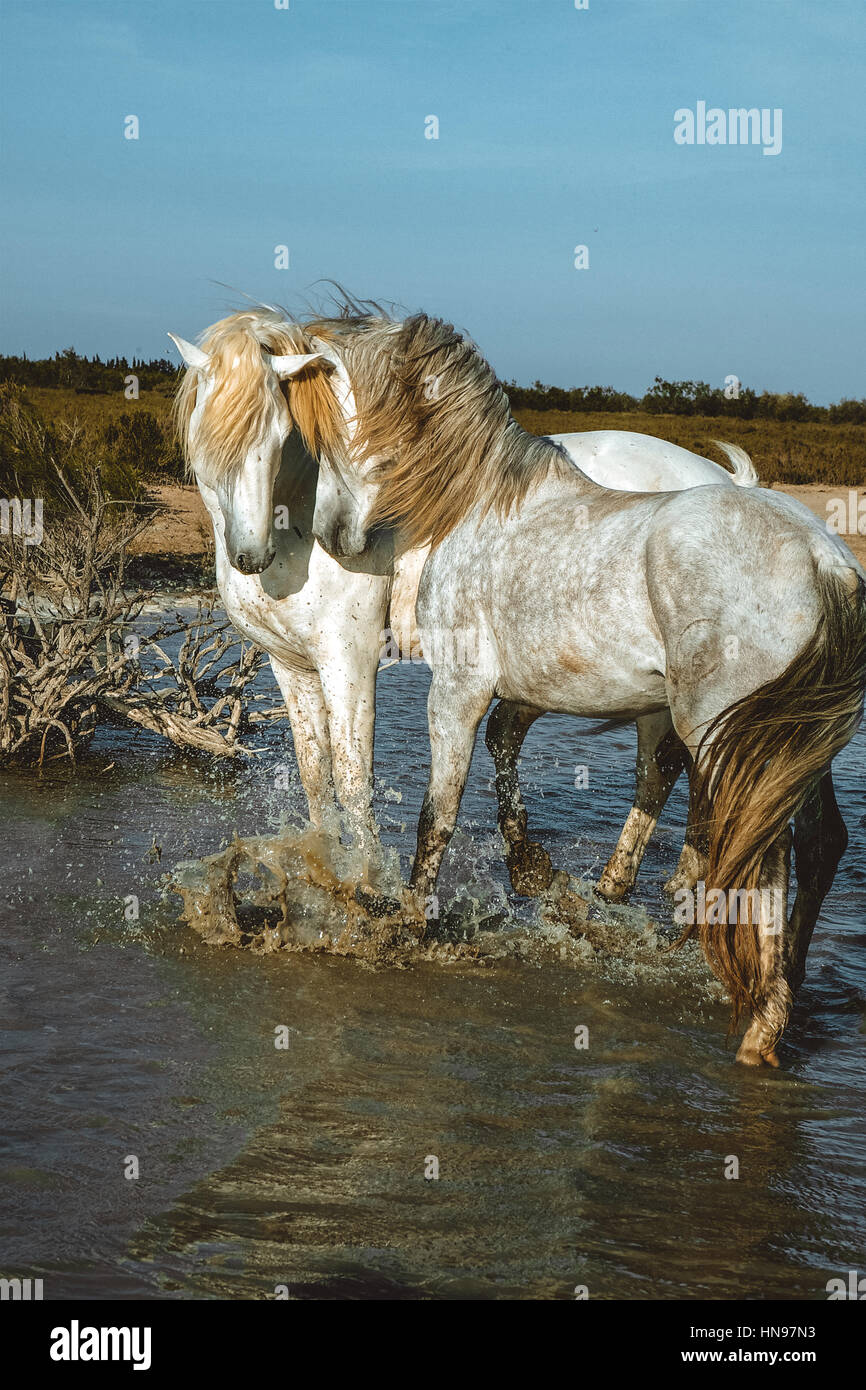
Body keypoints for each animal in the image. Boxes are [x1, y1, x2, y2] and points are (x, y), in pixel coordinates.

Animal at [303, 308, 865, 1066]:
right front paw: (537, 875)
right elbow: (502, 757)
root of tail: (823, 556)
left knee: (763, 854)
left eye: (336, 427)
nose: (334, 537)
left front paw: (412, 925)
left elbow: (437, 812)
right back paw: (779, 985)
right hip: (793, 741)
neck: (484, 504)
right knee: (818, 841)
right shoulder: (524, 689)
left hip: (729, 737)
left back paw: (758, 1021)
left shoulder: (458, 687)